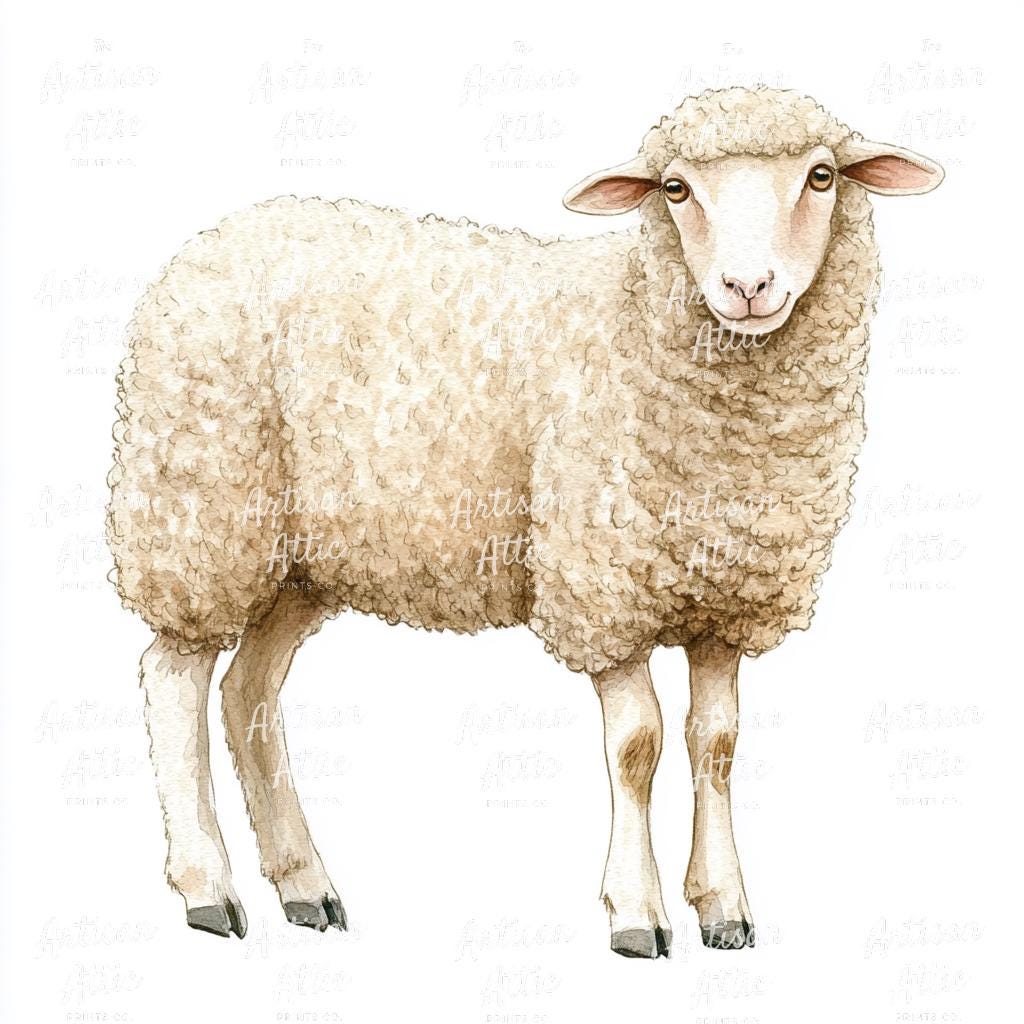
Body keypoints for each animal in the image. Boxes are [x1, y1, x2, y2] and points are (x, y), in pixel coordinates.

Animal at [106, 86, 944, 958]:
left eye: (821, 177)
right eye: (675, 189)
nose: (747, 285)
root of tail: (216, 237)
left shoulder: (724, 592)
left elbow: (715, 744)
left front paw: (723, 906)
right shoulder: (601, 584)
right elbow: (638, 746)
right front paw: (636, 913)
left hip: (302, 559)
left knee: (249, 693)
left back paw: (305, 884)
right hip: (200, 515)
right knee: (172, 680)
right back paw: (208, 888)